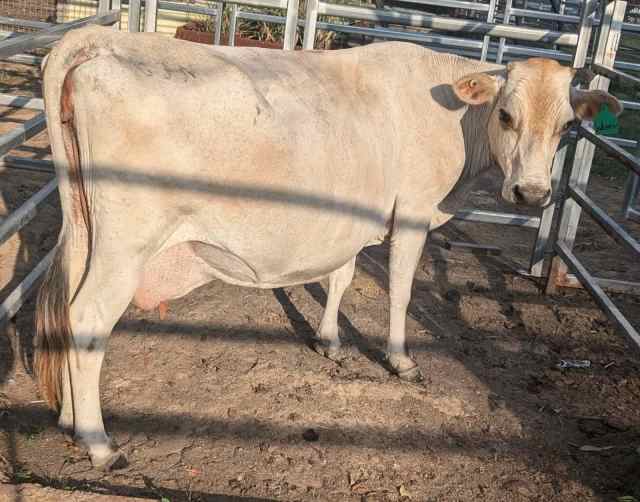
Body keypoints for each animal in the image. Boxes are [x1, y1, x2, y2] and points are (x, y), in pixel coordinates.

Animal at [34, 25, 621, 470]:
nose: (533, 194)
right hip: (126, 243)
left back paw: (69, 419)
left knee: (65, 310)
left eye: (567, 125)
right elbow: (400, 293)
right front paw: (401, 361)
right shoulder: (412, 214)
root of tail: (101, 41)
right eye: (505, 115)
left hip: (85, 230)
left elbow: (341, 276)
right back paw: (100, 444)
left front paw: (330, 341)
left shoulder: (353, 220)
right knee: (88, 316)